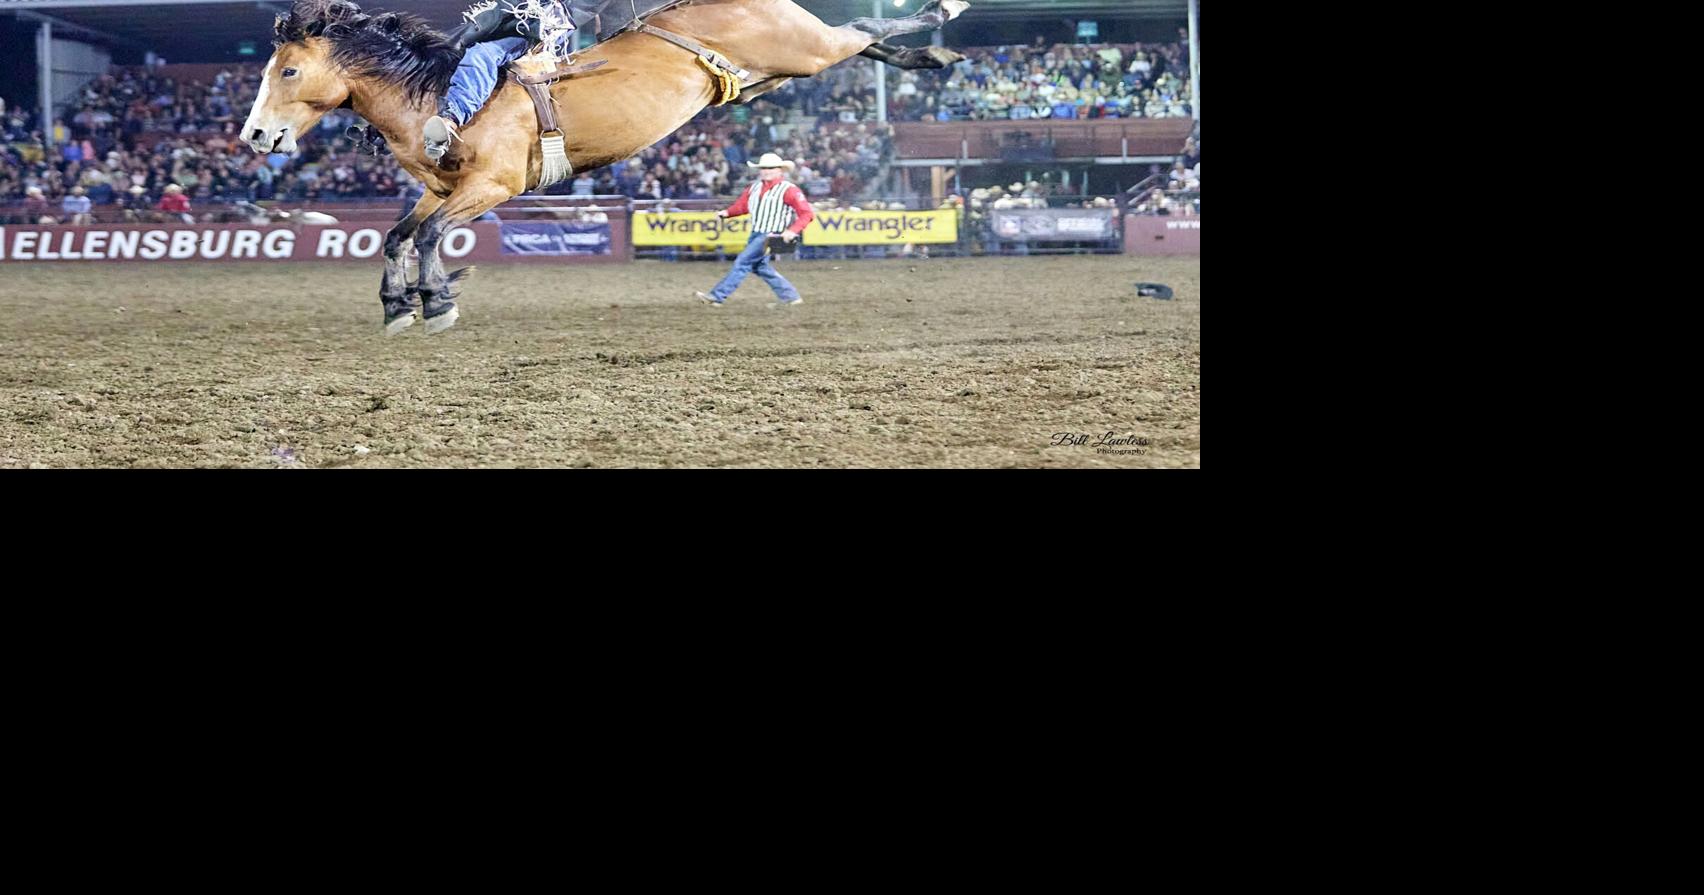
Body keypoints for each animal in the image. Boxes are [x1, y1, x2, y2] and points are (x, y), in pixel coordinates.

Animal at [241, 0, 970, 335]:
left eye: (290, 70)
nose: (254, 135)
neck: (437, 94)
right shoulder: (440, 186)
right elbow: (398, 235)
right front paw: (398, 307)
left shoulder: (492, 186)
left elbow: (428, 236)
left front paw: (438, 302)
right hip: (791, 63)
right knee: (867, 42)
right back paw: (932, 57)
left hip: (805, 46)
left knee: (868, 29)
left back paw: (944, 18)